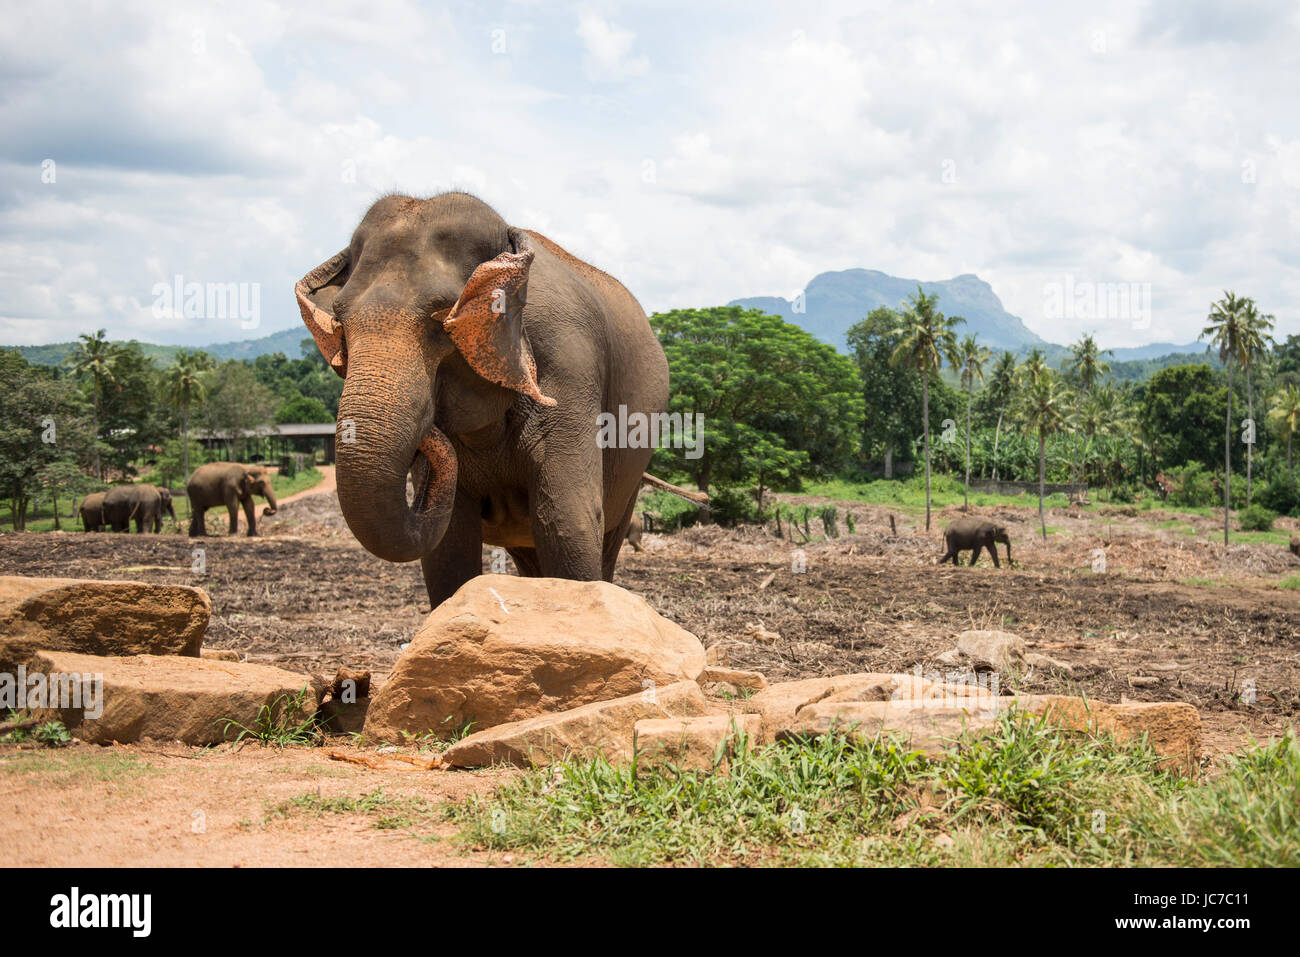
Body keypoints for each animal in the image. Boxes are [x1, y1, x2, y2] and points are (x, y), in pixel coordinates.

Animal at [294, 192, 668, 609]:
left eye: (443, 319)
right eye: (340, 322)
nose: (430, 424)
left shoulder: (570, 364)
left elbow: (566, 521)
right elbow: (450, 544)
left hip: (633, 464)